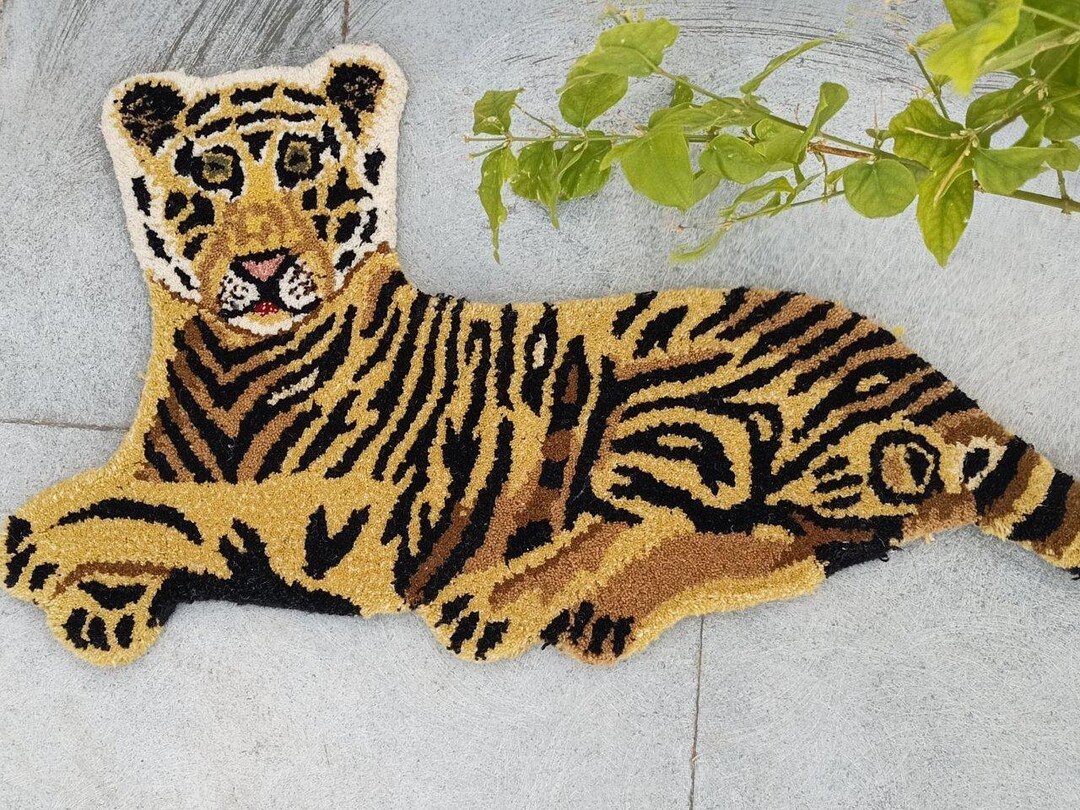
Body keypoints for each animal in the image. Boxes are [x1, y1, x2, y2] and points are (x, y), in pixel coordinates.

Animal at [3, 45, 1079, 668]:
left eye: (307, 170)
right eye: (216, 177)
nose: (265, 268)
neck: (230, 358)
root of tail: (917, 364)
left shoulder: (352, 519)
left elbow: (192, 513)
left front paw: (39, 541)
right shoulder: (171, 456)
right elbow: (159, 495)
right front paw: (102, 601)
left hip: (674, 400)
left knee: (645, 520)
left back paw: (504, 604)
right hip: (816, 510)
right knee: (769, 546)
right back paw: (596, 618)